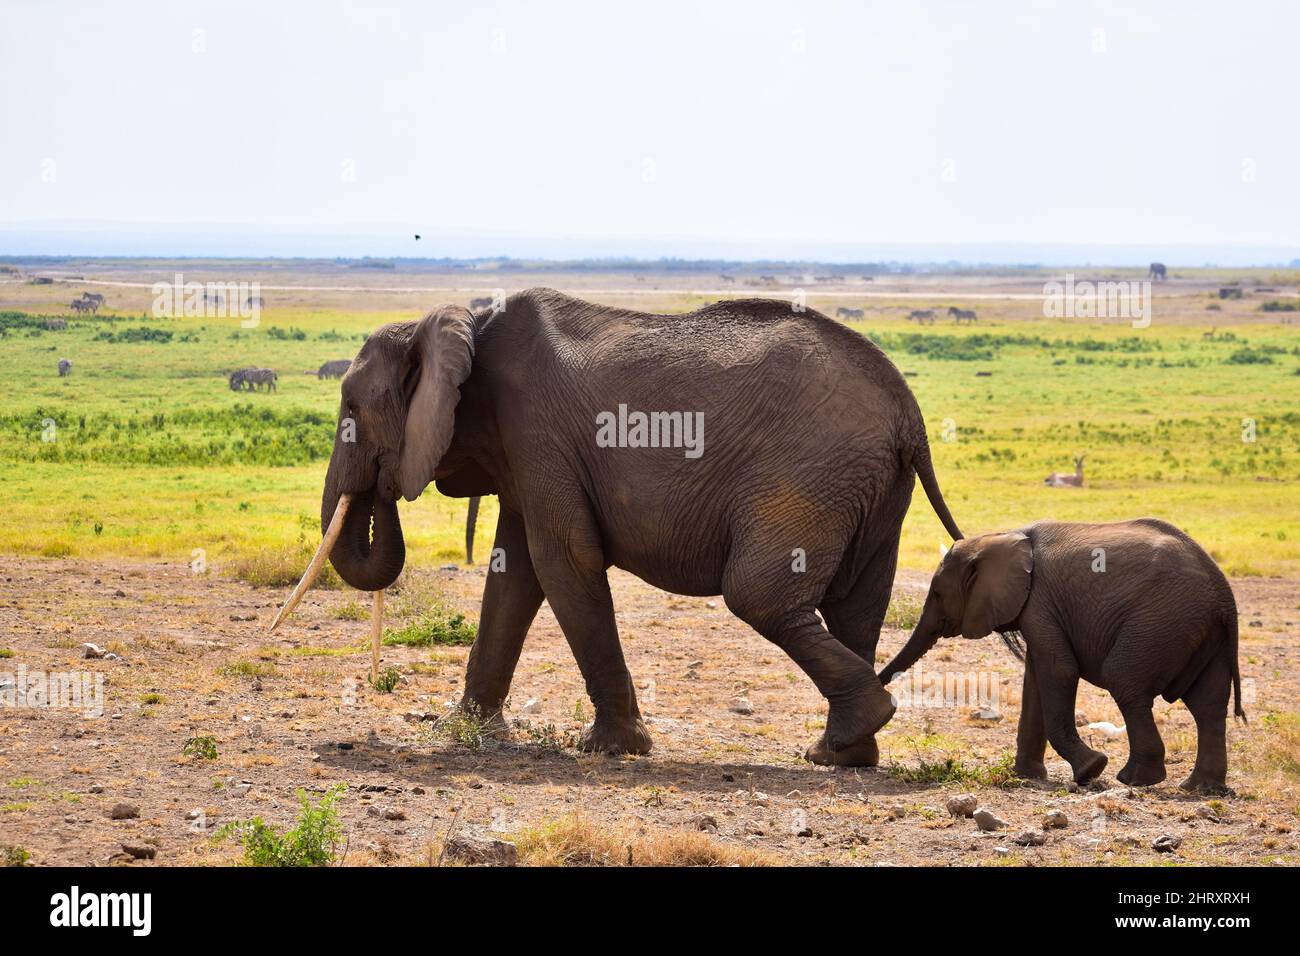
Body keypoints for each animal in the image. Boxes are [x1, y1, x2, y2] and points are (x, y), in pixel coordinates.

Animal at [273, 288, 963, 764]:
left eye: (351, 407)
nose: (381, 485)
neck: (463, 323)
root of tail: (911, 415)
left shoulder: (537, 432)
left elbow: (562, 560)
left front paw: (612, 749)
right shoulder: (526, 452)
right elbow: (514, 574)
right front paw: (463, 731)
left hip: (812, 474)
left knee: (760, 595)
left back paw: (858, 727)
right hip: (870, 487)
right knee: (858, 603)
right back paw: (843, 753)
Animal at [878, 519, 1244, 791]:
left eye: (938, 594)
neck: (1001, 535)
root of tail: (1224, 593)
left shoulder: (1040, 601)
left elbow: (1059, 671)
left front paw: (1091, 769)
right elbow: (1035, 680)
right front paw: (1027, 776)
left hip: (1160, 622)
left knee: (1125, 681)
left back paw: (1136, 779)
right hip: (1200, 631)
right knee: (1208, 705)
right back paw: (1199, 787)